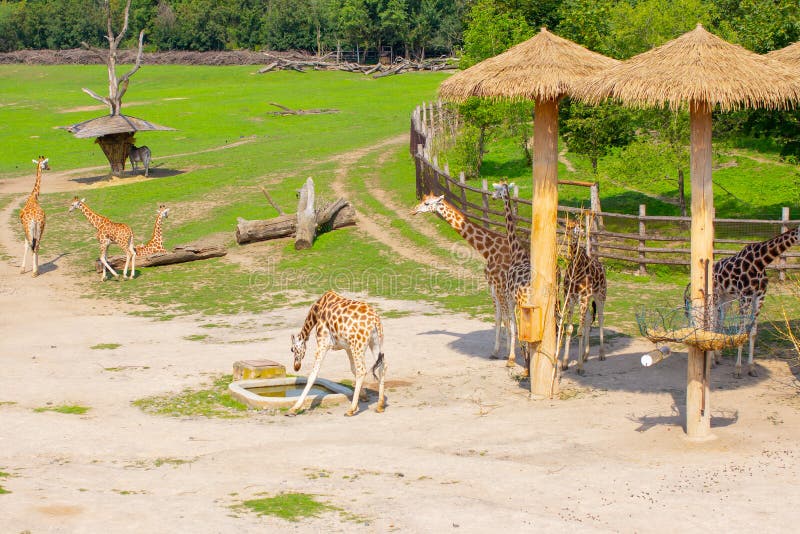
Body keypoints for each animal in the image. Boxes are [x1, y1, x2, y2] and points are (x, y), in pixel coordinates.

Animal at [411, 194, 518, 363]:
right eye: (422, 200)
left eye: (427, 203)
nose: (413, 211)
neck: (488, 250)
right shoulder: (492, 286)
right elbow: (498, 318)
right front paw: (495, 352)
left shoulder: (501, 286)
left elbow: (508, 320)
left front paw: (509, 355)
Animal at [560, 218, 606, 375]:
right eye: (567, 225)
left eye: (577, 226)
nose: (576, 233)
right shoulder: (570, 297)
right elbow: (569, 329)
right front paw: (564, 363)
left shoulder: (583, 297)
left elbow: (579, 331)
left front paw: (579, 367)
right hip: (587, 299)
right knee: (588, 318)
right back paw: (586, 355)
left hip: (600, 295)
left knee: (600, 318)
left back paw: (601, 354)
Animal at [705, 226, 800, 378]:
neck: (760, 262)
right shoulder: (745, 296)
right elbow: (741, 332)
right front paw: (738, 369)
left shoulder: (759, 297)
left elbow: (753, 333)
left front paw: (751, 368)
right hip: (715, 295)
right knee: (712, 322)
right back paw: (712, 361)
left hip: (727, 298)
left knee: (719, 322)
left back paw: (718, 357)